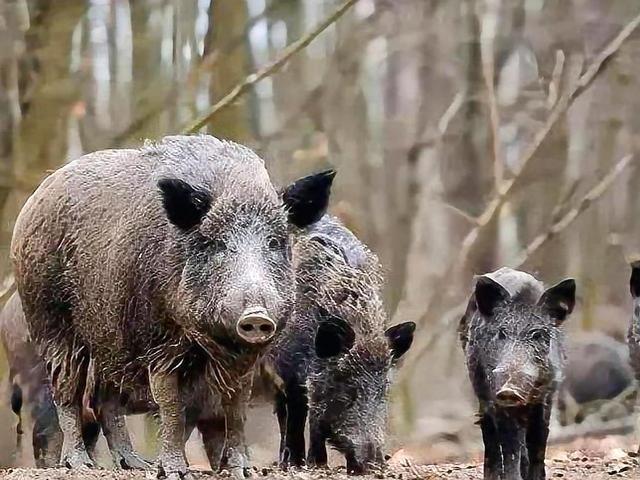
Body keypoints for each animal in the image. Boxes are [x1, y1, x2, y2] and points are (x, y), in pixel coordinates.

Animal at [10, 135, 334, 480]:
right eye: (216, 243)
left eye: (274, 242)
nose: (256, 315)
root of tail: (34, 200)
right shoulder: (158, 343)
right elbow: (171, 408)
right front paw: (175, 471)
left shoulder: (245, 358)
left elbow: (235, 408)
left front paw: (243, 471)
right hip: (51, 323)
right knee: (67, 392)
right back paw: (80, 464)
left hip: (110, 337)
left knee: (105, 401)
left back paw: (134, 464)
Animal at [268, 215, 415, 474]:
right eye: (348, 389)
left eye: (383, 393)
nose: (375, 463)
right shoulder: (292, 372)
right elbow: (302, 415)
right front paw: (310, 465)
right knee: (286, 412)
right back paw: (287, 462)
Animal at [459, 268, 575, 480]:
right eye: (502, 333)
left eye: (538, 335)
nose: (509, 390)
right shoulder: (496, 397)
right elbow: (509, 443)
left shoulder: (546, 397)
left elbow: (539, 440)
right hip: (480, 389)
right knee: (490, 435)